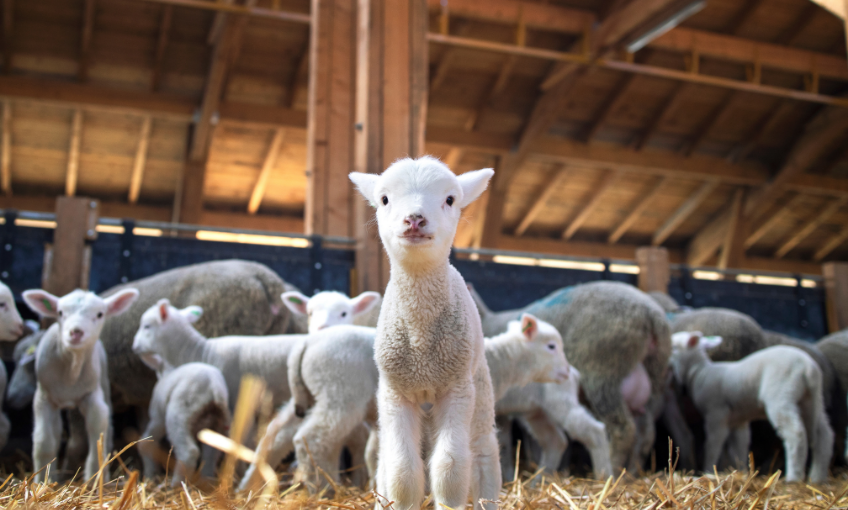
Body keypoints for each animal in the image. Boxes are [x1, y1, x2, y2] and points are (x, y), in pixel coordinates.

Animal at [22, 287, 139, 483]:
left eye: (100, 314)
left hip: (104, 382)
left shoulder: (92, 396)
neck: (71, 369)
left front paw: (94, 478)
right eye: (60, 313)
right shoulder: (43, 398)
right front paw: (43, 481)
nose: (76, 332)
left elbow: (98, 431)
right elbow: (44, 441)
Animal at [133, 308, 229, 487]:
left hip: (179, 414)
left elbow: (146, 442)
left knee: (189, 452)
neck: (168, 369)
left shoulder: (157, 414)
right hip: (219, 421)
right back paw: (206, 481)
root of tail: (214, 388)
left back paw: (175, 485)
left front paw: (149, 473)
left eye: (147, 326)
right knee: (212, 451)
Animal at [350, 157, 498, 510]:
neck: (421, 344)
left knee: (483, 453)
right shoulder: (395, 394)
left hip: (480, 389)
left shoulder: (456, 389)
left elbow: (450, 467)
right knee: (385, 463)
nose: (415, 219)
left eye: (450, 199)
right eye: (384, 199)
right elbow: (402, 471)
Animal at [467, 281, 670, 472]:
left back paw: (612, 470)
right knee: (645, 434)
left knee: (622, 429)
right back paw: (631, 472)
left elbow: (504, 441)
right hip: (653, 380)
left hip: (603, 375)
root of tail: (652, 314)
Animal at [669, 331, 833, 482]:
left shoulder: (716, 413)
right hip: (812, 400)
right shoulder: (738, 420)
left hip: (781, 396)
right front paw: (742, 470)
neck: (699, 372)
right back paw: (817, 477)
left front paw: (708, 470)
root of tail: (808, 367)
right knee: (823, 434)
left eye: (674, 347)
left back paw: (793, 477)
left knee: (796, 433)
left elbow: (712, 445)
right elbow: (739, 446)